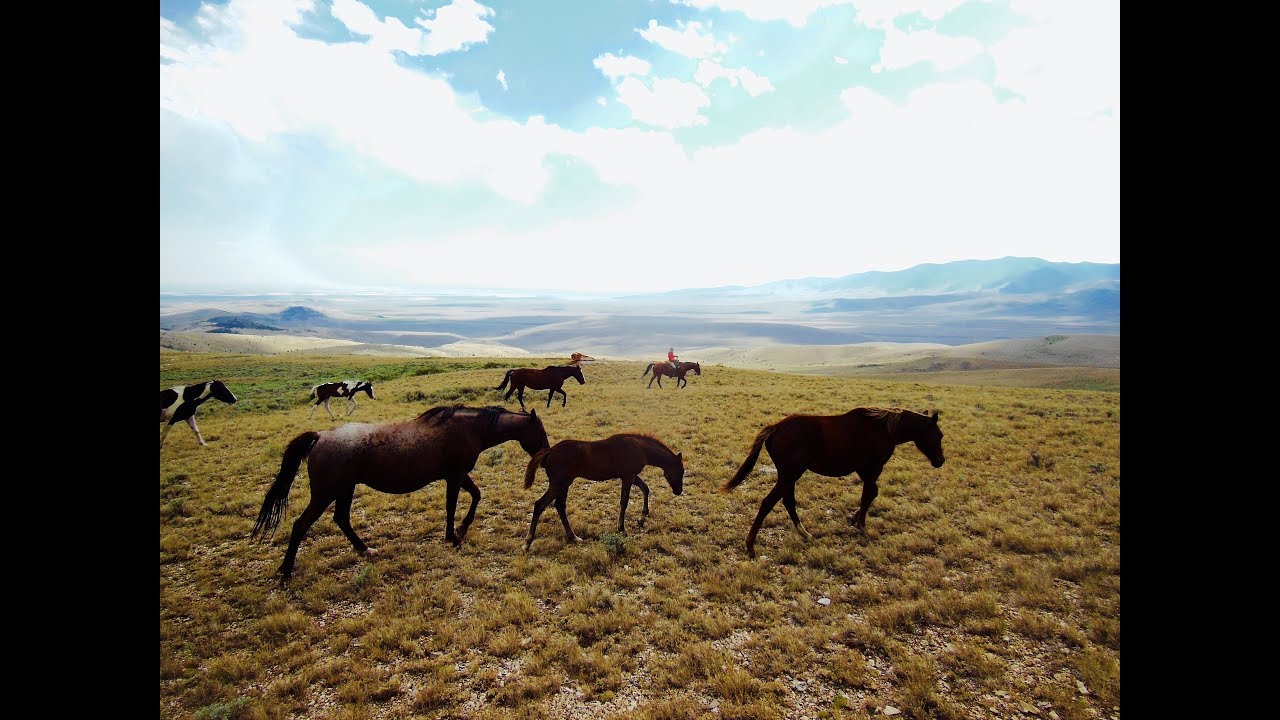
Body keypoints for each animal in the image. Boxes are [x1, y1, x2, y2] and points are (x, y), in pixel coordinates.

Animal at [252, 405, 550, 585]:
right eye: (541, 431)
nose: (546, 454)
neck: (470, 429)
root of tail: (321, 436)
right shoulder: (454, 476)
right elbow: (452, 506)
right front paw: (454, 536)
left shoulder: (459, 476)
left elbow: (476, 496)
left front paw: (461, 530)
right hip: (326, 492)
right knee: (301, 525)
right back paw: (286, 571)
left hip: (345, 489)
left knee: (341, 519)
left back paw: (365, 549)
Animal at [522, 433, 684, 550]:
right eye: (681, 471)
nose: (679, 491)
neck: (640, 448)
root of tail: (550, 451)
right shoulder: (628, 476)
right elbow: (624, 501)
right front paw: (621, 529)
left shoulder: (630, 476)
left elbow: (645, 488)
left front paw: (642, 519)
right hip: (559, 484)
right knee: (540, 505)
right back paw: (527, 543)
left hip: (564, 484)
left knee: (560, 506)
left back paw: (573, 537)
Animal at [721, 408, 945, 558]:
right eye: (939, 435)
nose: (940, 461)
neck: (885, 429)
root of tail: (775, 428)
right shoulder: (873, 469)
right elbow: (868, 494)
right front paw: (861, 525)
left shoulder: (864, 470)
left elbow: (871, 493)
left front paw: (853, 519)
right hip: (790, 474)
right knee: (769, 502)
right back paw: (750, 545)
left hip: (789, 475)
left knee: (787, 502)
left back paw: (805, 533)